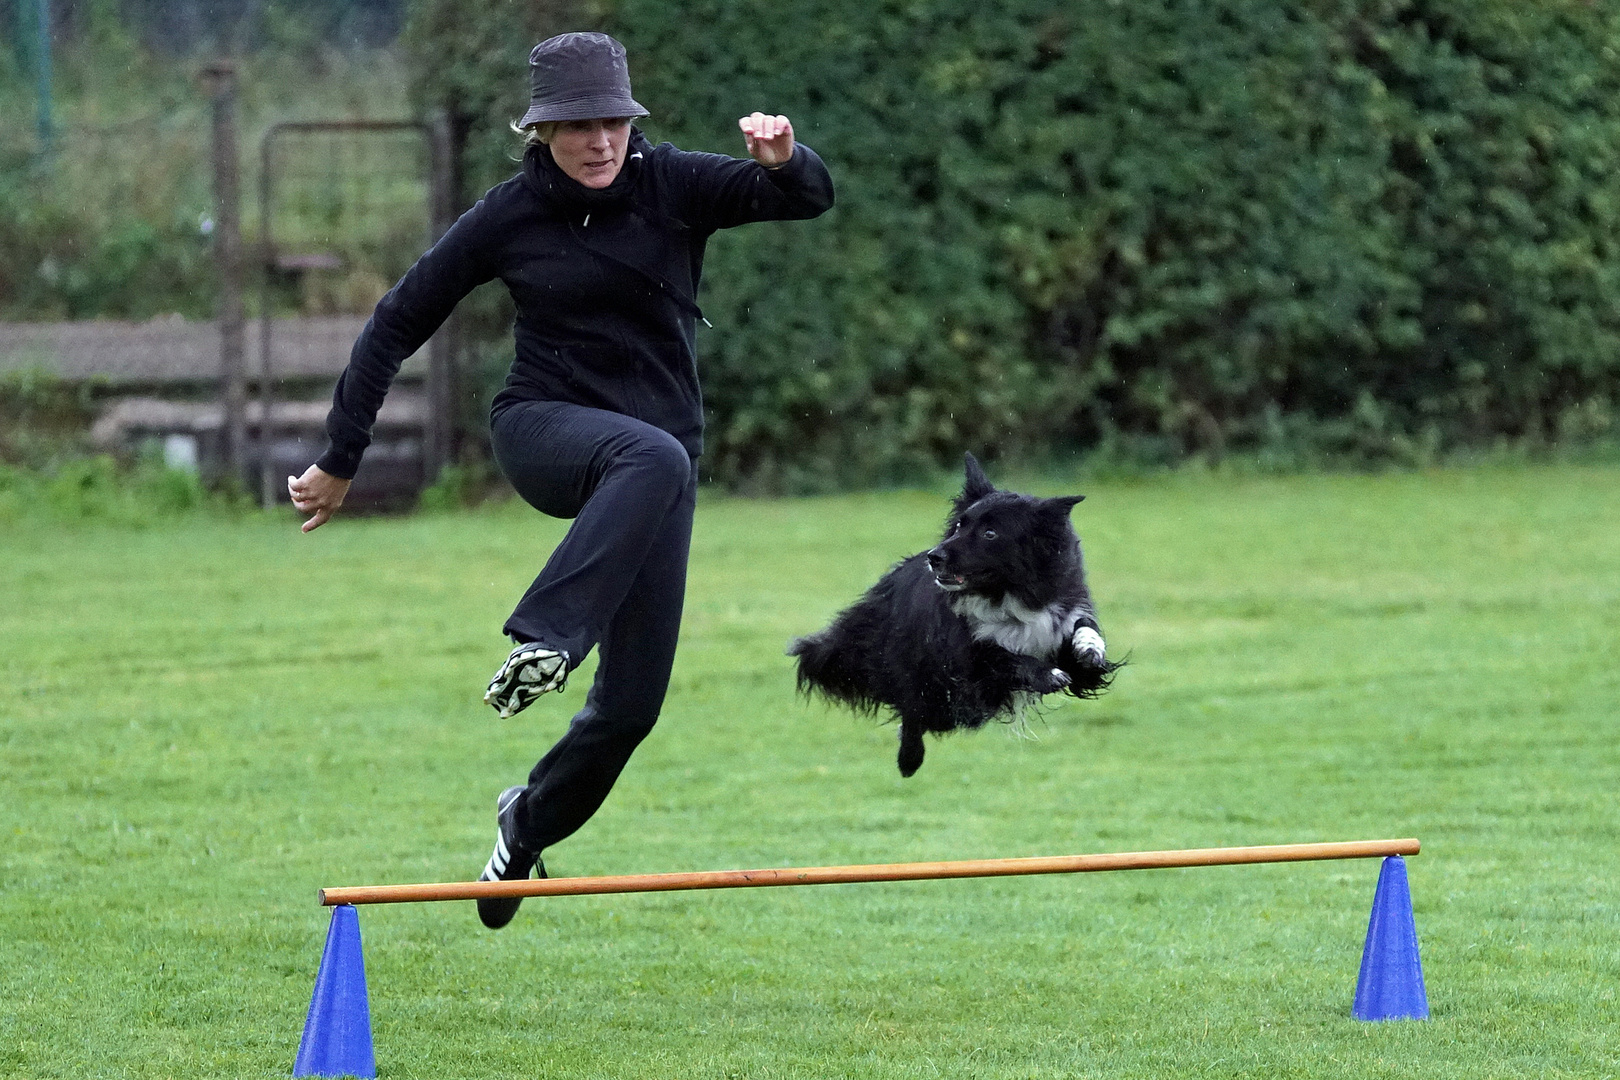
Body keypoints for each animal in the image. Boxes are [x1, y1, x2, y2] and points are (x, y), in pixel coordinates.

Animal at [790, 453, 1121, 777]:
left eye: (990, 533)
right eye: (960, 526)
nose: (933, 557)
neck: (1006, 597)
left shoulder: (1064, 619)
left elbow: (1084, 635)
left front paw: (1089, 648)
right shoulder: (964, 667)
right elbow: (1001, 656)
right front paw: (1048, 673)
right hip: (925, 681)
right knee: (913, 708)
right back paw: (909, 759)